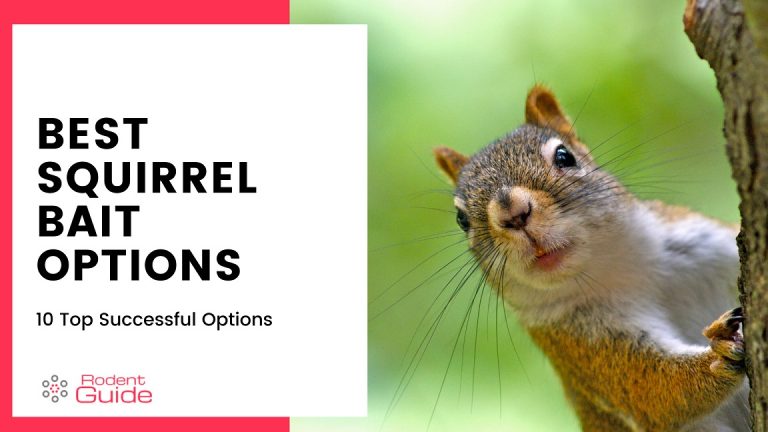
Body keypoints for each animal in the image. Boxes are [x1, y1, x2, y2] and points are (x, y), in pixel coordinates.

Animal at [433, 85, 749, 431]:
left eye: (564, 156)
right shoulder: (580, 343)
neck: (618, 269)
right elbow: (651, 388)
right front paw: (719, 354)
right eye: (462, 219)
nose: (513, 214)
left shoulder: (704, 240)